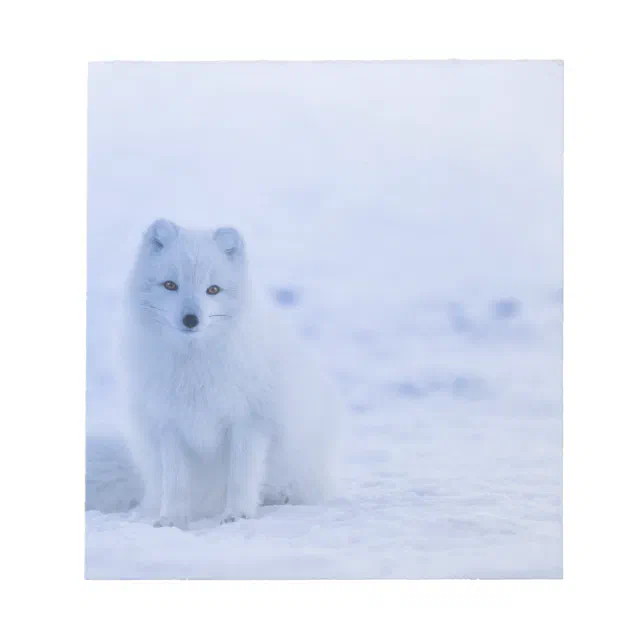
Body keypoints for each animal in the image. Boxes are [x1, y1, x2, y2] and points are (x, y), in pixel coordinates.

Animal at [123, 219, 342, 528]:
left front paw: (237, 515)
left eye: (213, 289)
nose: (191, 319)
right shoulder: (169, 424)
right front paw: (172, 520)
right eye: (170, 285)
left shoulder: (249, 421)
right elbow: (176, 482)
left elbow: (242, 475)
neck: (195, 366)